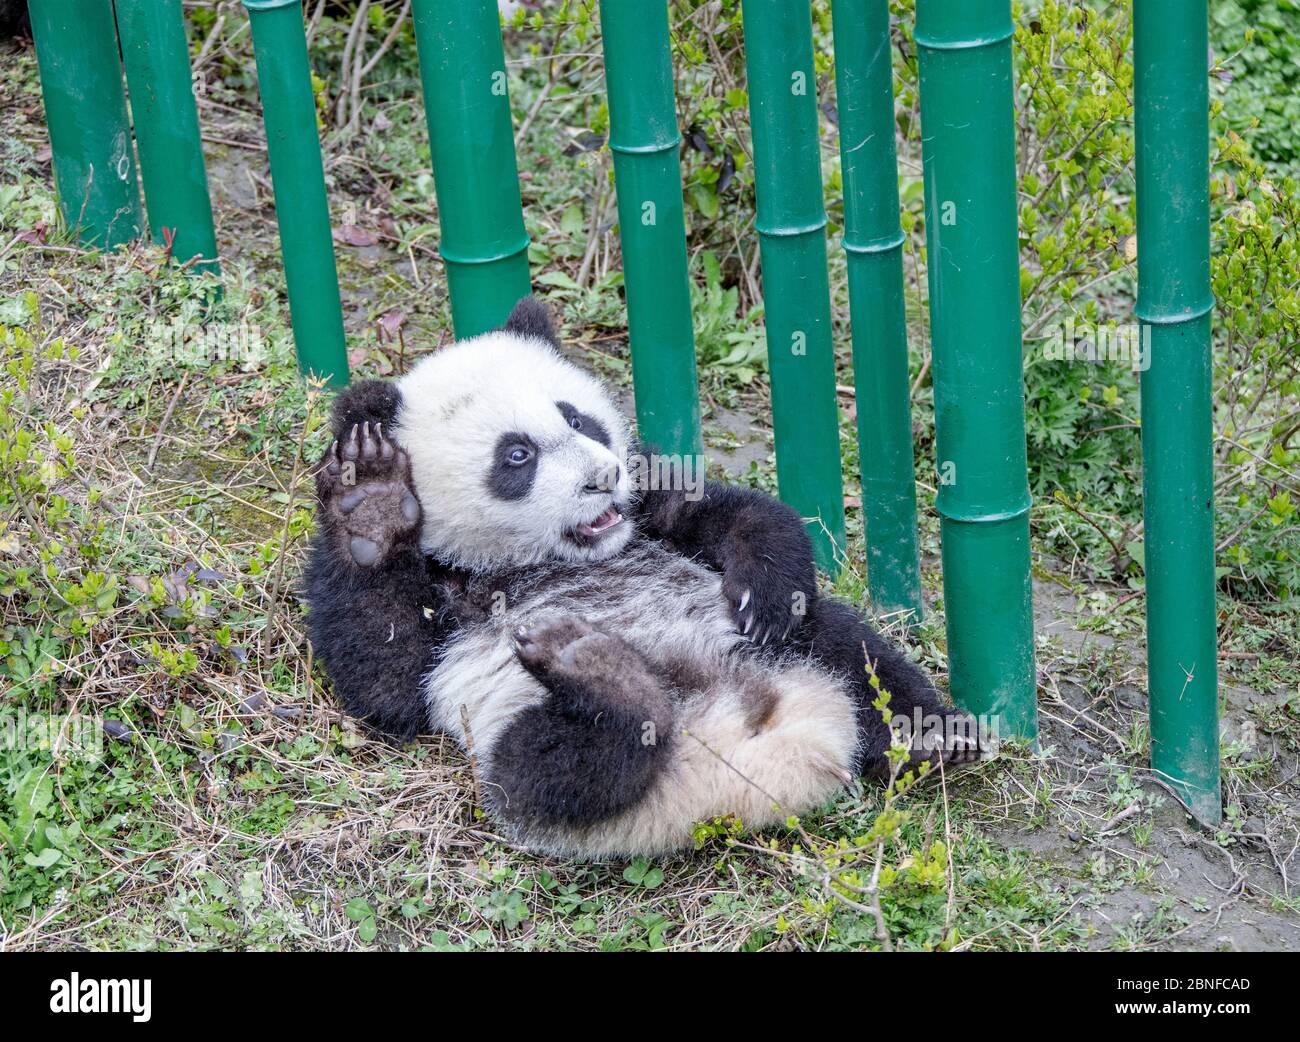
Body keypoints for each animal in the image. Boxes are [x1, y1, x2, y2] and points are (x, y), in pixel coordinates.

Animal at [305, 297, 988, 858]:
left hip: (791, 655)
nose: (601, 478)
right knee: (547, 771)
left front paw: (765, 589)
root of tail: (740, 768)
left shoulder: (646, 510)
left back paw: (933, 738)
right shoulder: (445, 594)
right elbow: (390, 678)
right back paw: (601, 672)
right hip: (508, 738)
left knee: (853, 650)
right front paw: (373, 500)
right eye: (517, 456)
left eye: (577, 419)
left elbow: (722, 513)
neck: (533, 562)